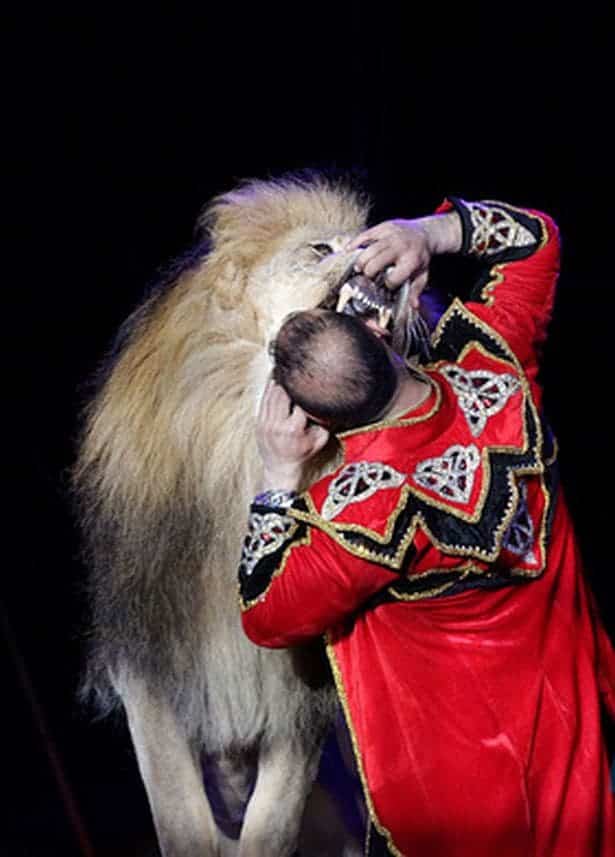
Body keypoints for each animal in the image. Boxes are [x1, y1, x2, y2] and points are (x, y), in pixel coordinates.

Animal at [74, 173, 419, 856]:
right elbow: (181, 815)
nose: (393, 262)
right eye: (320, 248)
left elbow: (272, 824)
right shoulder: (151, 669)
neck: (238, 460)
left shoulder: (296, 692)